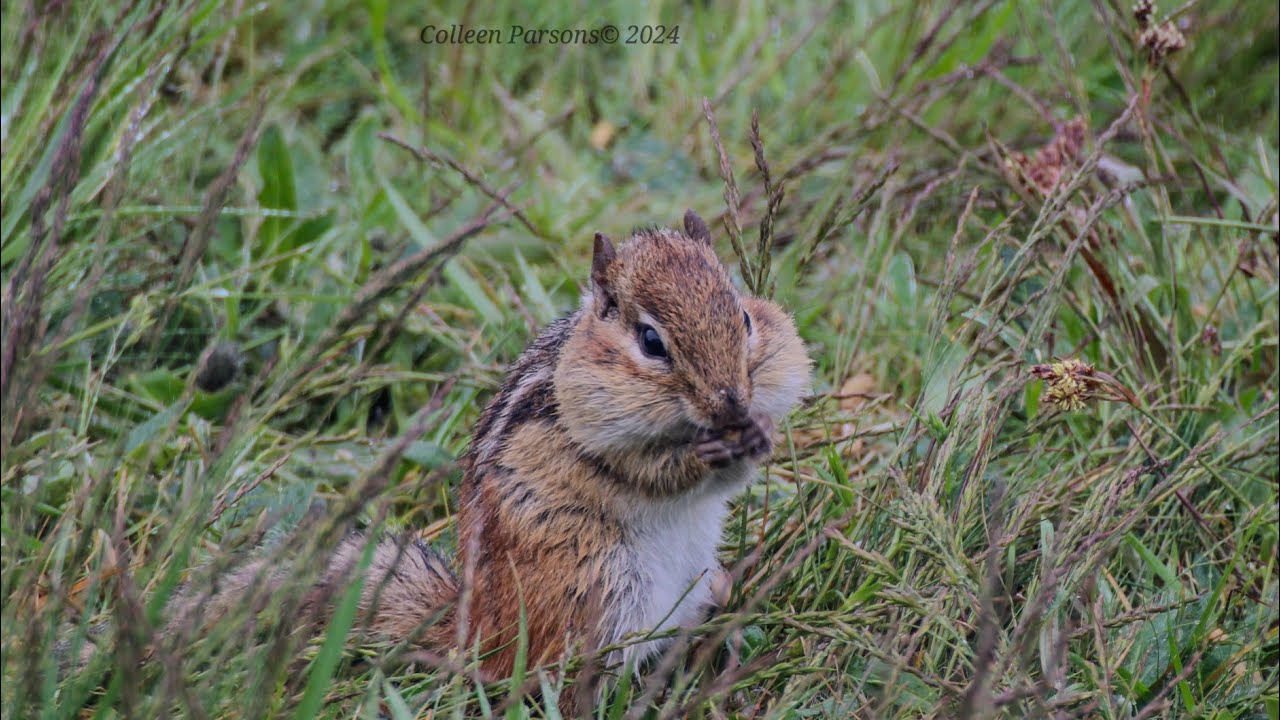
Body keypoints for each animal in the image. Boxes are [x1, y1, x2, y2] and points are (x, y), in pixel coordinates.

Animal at [164, 209, 811, 683]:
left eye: (744, 318)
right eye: (652, 341)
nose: (731, 403)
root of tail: (473, 628)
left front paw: (761, 434)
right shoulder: (596, 431)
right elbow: (651, 469)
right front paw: (699, 456)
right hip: (602, 591)